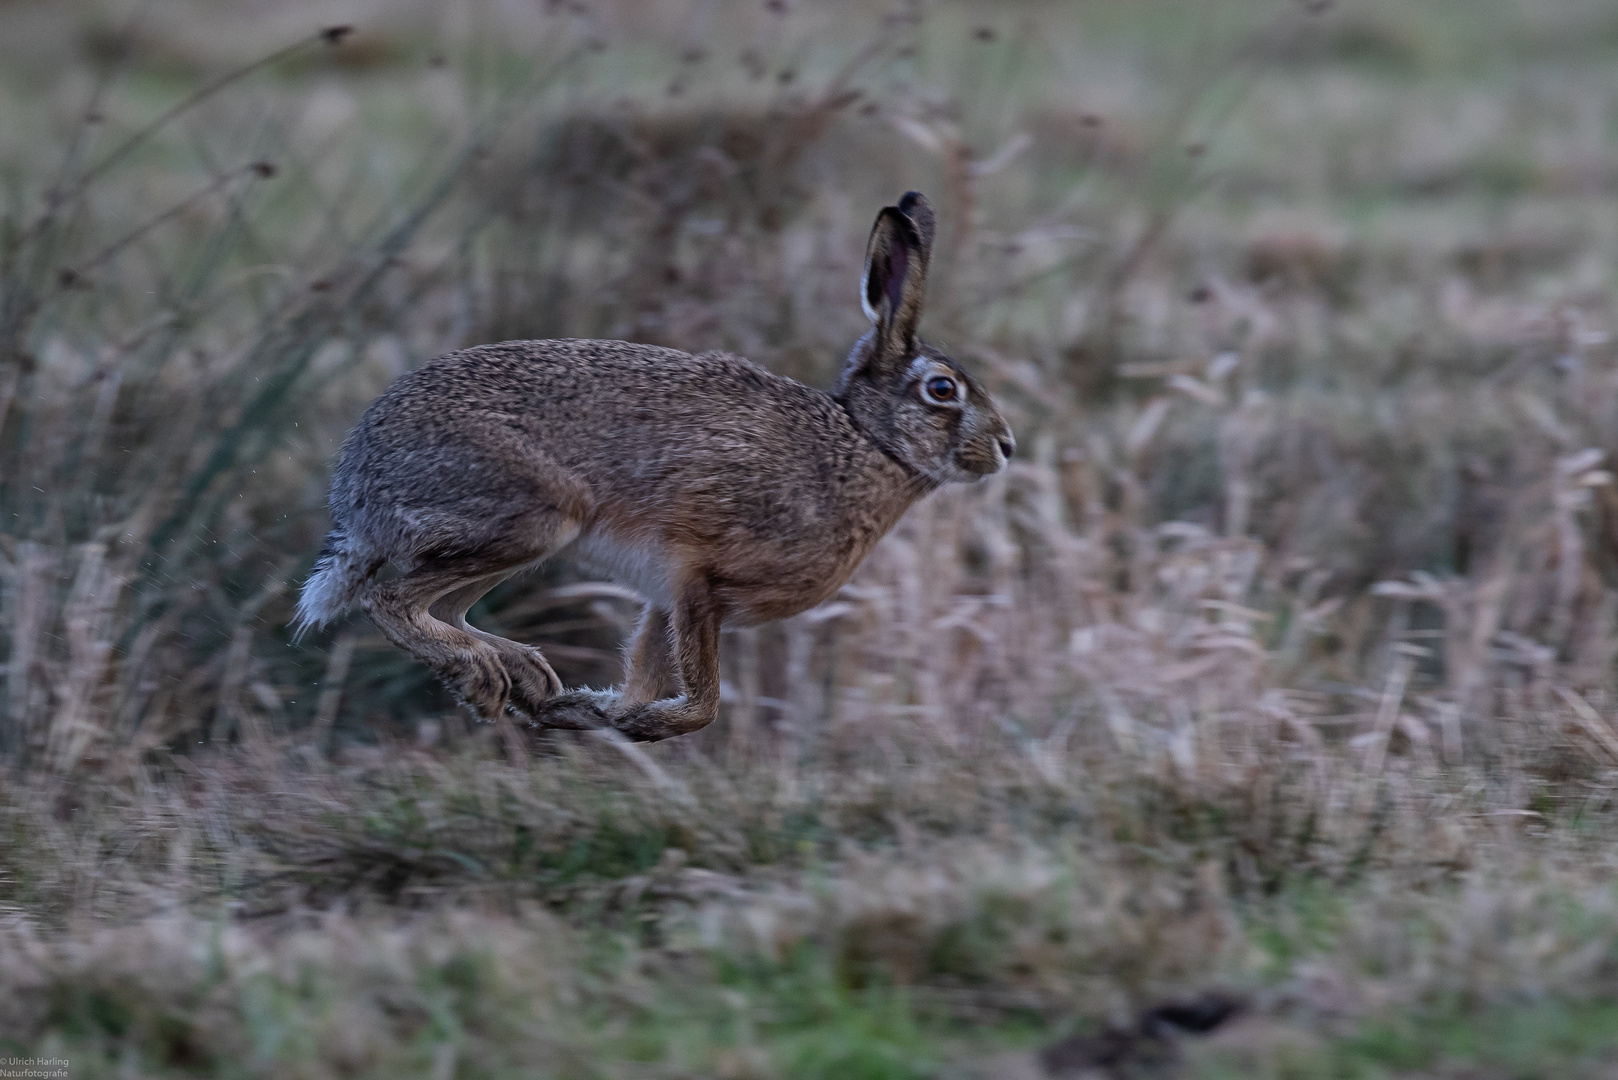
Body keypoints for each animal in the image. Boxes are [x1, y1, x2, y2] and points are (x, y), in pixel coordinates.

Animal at [295, 191, 1014, 743]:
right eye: (942, 390)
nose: (1006, 446)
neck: (866, 443)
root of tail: (359, 486)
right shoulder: (700, 578)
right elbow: (703, 701)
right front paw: (635, 725)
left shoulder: (667, 598)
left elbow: (646, 668)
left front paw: (592, 713)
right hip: (532, 516)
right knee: (388, 599)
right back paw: (486, 673)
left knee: (440, 604)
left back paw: (522, 676)